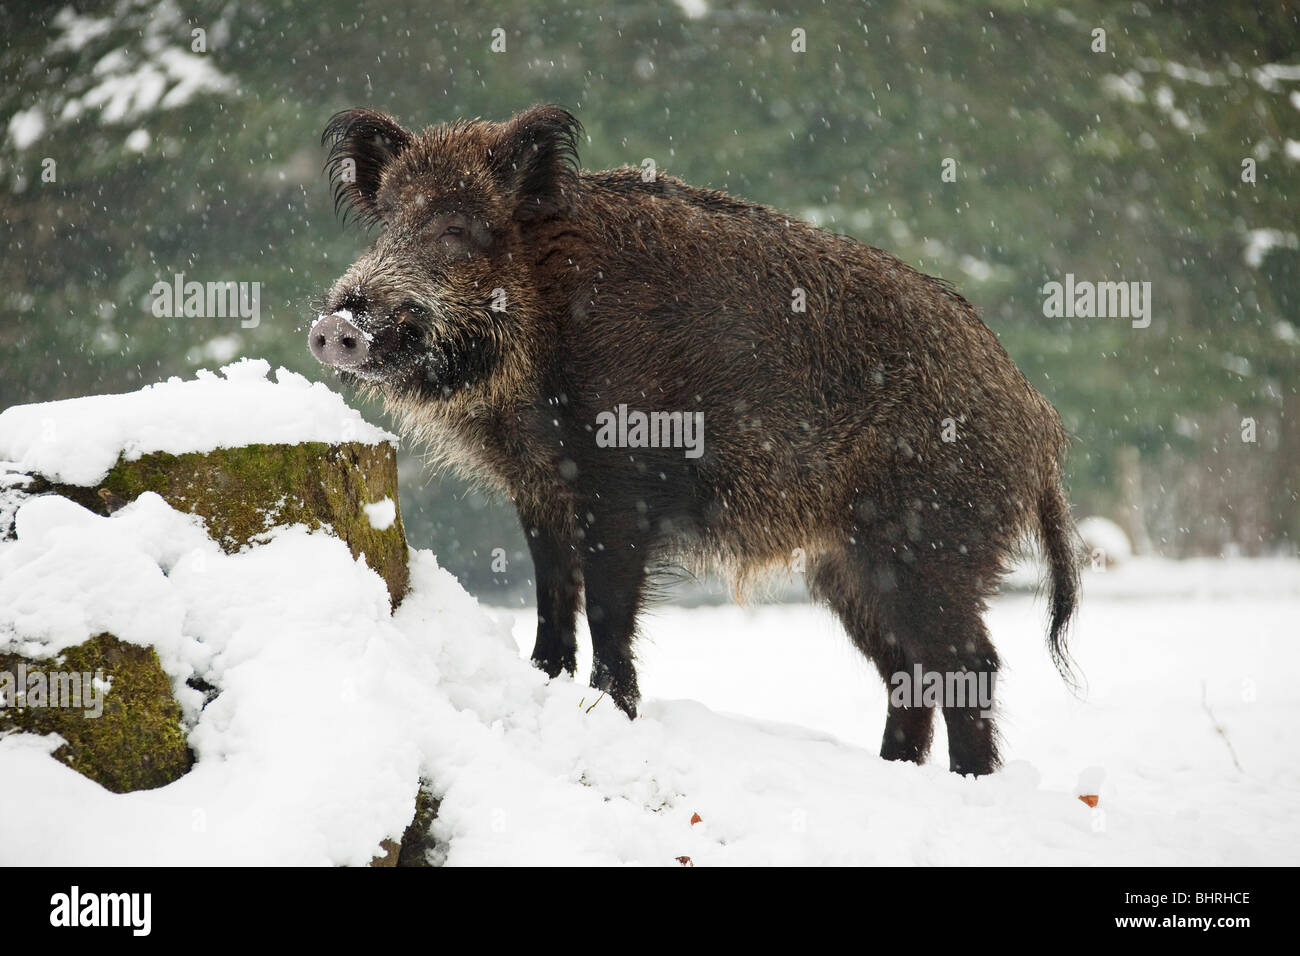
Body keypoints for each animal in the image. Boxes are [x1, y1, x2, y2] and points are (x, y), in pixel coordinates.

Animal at [309, 104, 1081, 775]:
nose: (336, 323)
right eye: (386, 221)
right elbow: (552, 595)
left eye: (458, 226)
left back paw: (969, 783)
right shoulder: (539, 490)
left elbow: (609, 610)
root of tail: (1039, 425)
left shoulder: (618, 486)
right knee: (909, 670)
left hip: (930, 541)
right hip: (849, 566)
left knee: (968, 664)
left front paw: (612, 712)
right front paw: (544, 679)